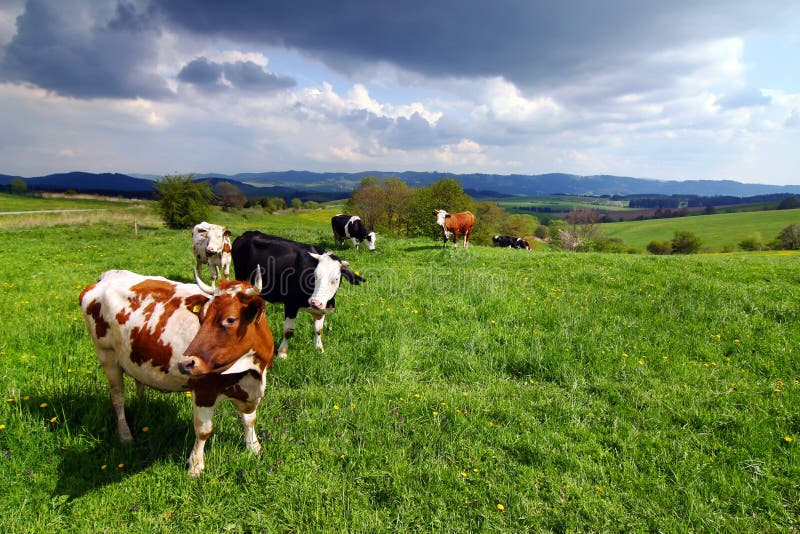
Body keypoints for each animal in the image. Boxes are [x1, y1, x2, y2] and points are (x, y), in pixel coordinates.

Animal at [79, 268, 274, 477]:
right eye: (201, 317)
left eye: (230, 319)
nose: (186, 362)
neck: (252, 372)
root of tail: (108, 275)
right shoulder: (203, 390)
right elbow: (204, 430)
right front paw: (195, 466)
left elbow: (250, 419)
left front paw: (254, 448)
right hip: (107, 357)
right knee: (117, 398)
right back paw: (125, 435)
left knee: (138, 382)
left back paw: (142, 408)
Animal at [232, 231, 365, 359]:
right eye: (314, 276)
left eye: (336, 279)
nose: (315, 302)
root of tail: (246, 234)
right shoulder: (291, 305)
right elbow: (288, 331)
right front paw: (282, 353)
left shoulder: (321, 309)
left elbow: (319, 330)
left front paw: (319, 349)